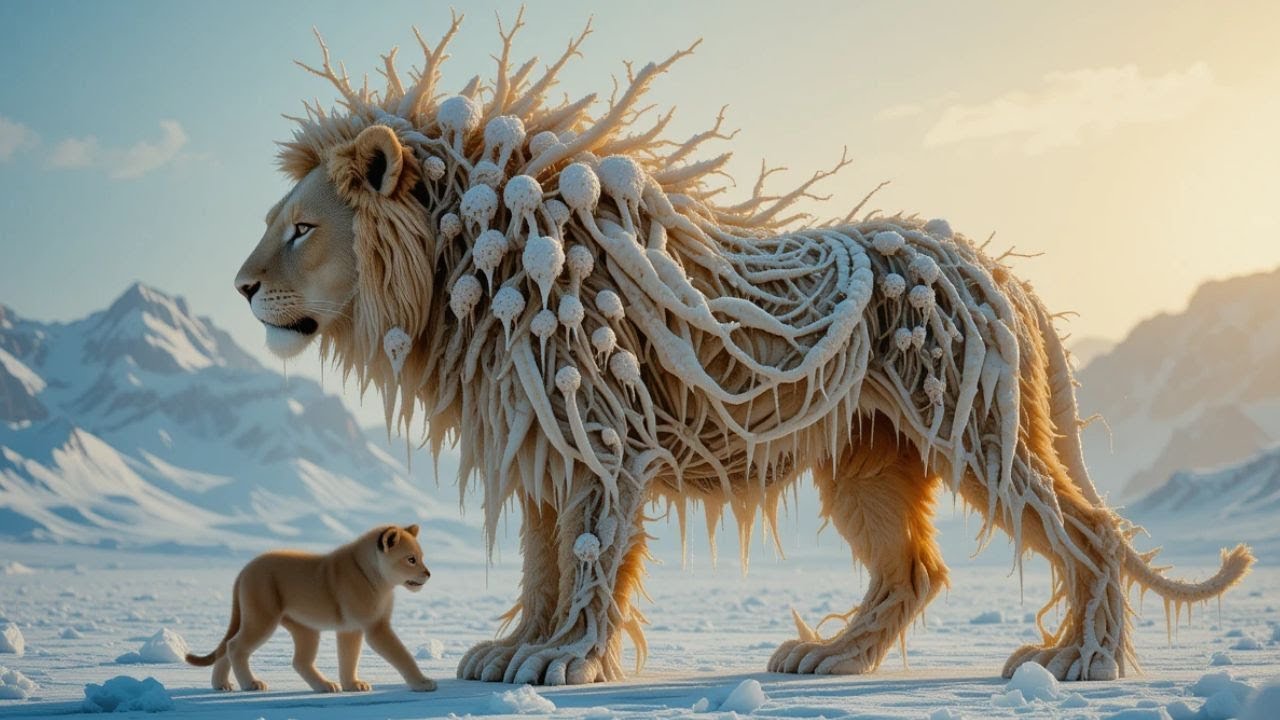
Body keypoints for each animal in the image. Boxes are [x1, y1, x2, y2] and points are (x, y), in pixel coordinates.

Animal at [185, 524, 437, 693]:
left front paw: (352, 684)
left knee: (294, 660)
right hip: (262, 617)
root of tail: (244, 570)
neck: (379, 579)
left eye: (422, 557)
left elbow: (349, 658)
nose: (428, 574)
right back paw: (251, 684)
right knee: (235, 646)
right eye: (411, 559)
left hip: (304, 629)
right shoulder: (375, 627)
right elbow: (401, 654)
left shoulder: (351, 628)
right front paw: (423, 683)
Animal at [233, 11, 1253, 685]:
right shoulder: (541, 438)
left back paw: (1082, 660)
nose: (240, 287)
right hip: (867, 462)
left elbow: (591, 555)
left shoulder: (600, 439)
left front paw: (562, 660)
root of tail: (995, 267)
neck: (456, 280)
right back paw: (826, 657)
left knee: (1087, 533)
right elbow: (544, 557)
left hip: (974, 432)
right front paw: (514, 650)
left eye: (299, 229)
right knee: (915, 569)